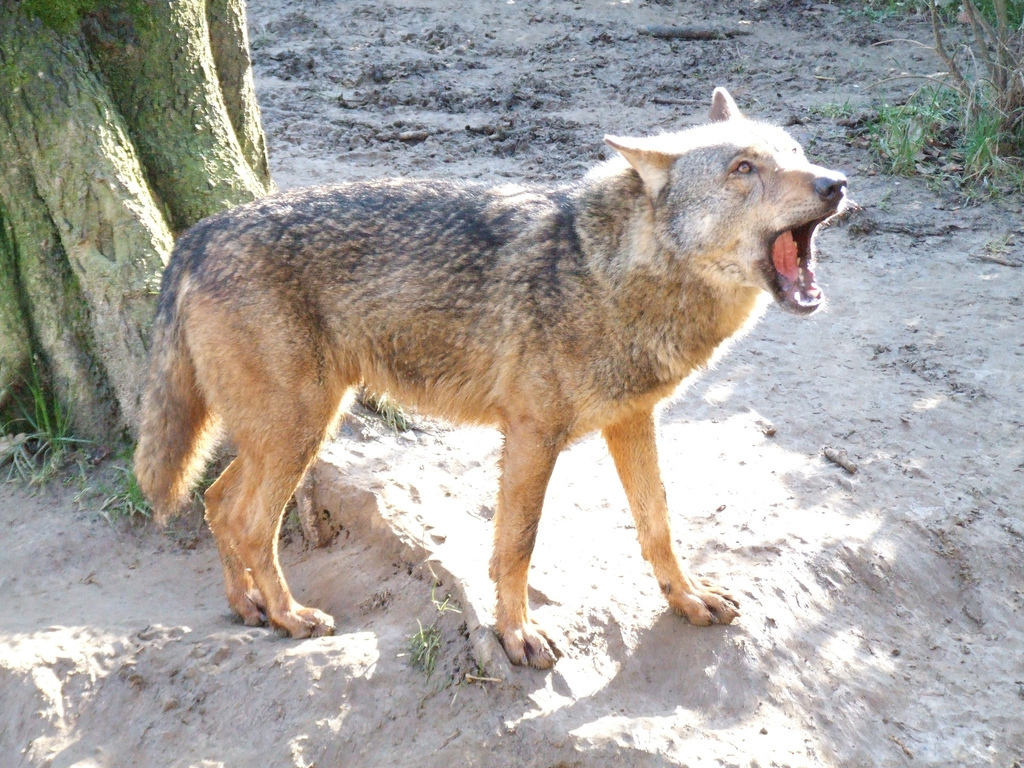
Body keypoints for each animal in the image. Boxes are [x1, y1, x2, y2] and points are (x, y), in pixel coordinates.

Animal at [134, 88, 847, 669]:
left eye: (796, 152)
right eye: (744, 169)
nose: (836, 183)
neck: (613, 274)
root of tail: (198, 233)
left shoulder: (631, 420)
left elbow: (659, 526)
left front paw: (688, 599)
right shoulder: (532, 434)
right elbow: (517, 547)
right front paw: (515, 636)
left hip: (293, 431)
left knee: (217, 504)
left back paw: (248, 608)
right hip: (302, 430)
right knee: (250, 522)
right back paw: (289, 617)